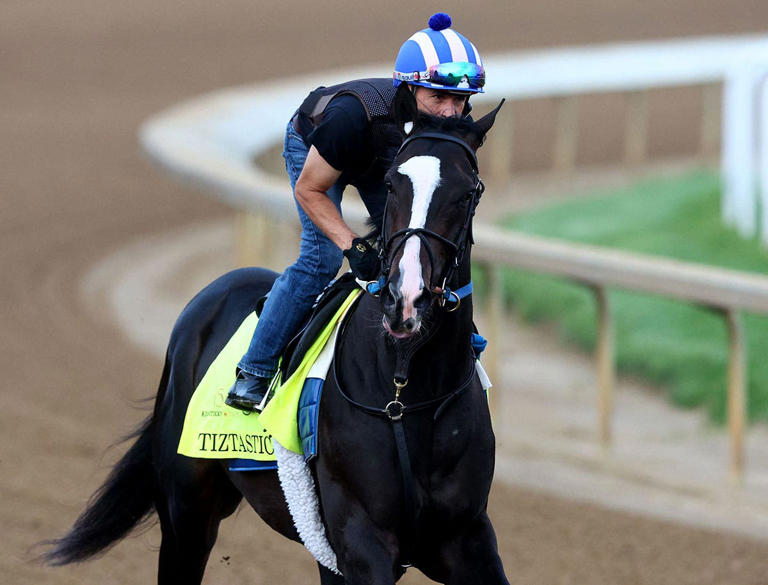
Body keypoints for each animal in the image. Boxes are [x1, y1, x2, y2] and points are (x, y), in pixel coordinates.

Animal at [45, 90, 508, 585]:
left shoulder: (465, 536)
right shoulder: (361, 542)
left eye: (469, 192)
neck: (404, 387)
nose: (407, 299)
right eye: (391, 183)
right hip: (186, 512)